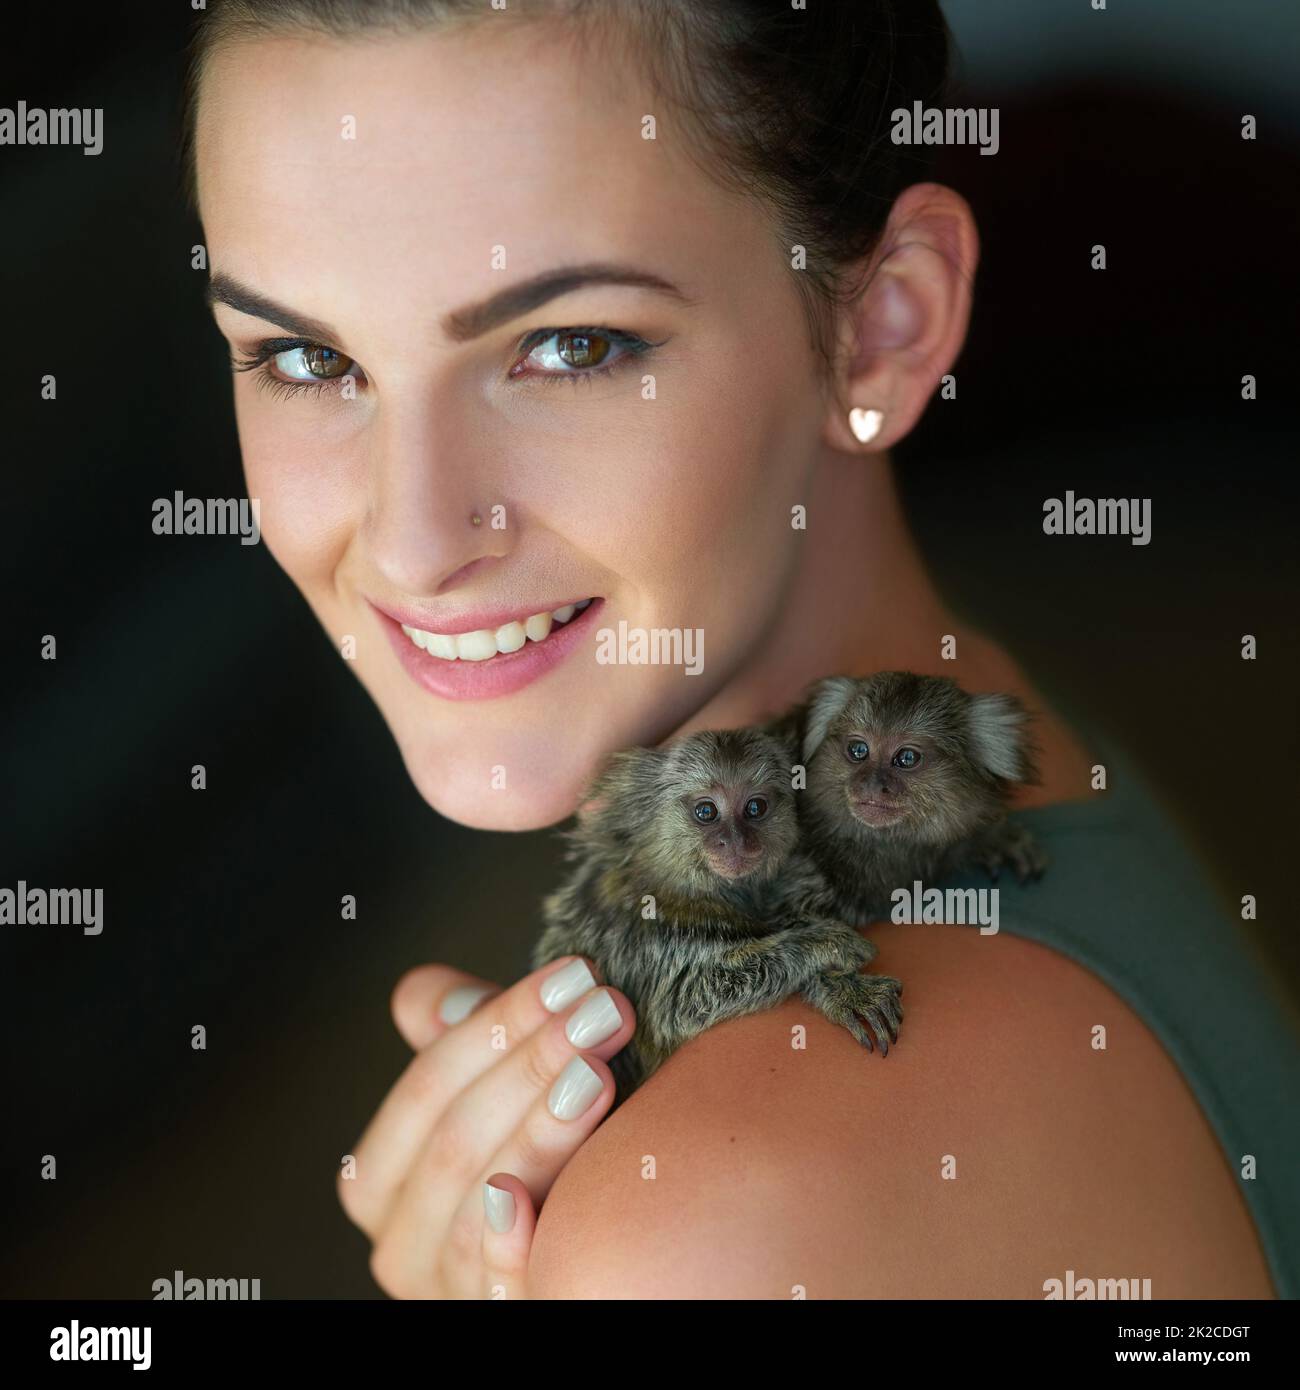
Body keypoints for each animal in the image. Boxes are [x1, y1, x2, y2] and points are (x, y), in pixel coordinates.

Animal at [533, 727, 904, 1104]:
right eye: (706, 811)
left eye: (755, 807)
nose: (736, 841)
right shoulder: (647, 938)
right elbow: (684, 1000)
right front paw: (828, 949)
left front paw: (842, 986)